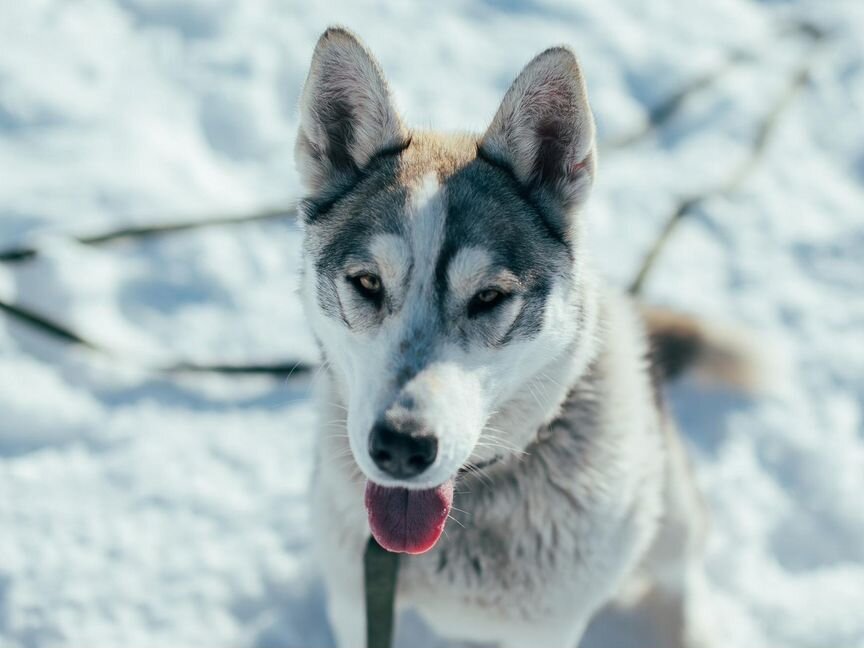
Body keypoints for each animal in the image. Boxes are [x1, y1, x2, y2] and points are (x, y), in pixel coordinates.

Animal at [296, 26, 756, 648]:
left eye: (489, 297)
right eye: (367, 283)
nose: (401, 446)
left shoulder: (549, 627)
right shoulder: (355, 602)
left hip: (672, 517)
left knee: (681, 578)